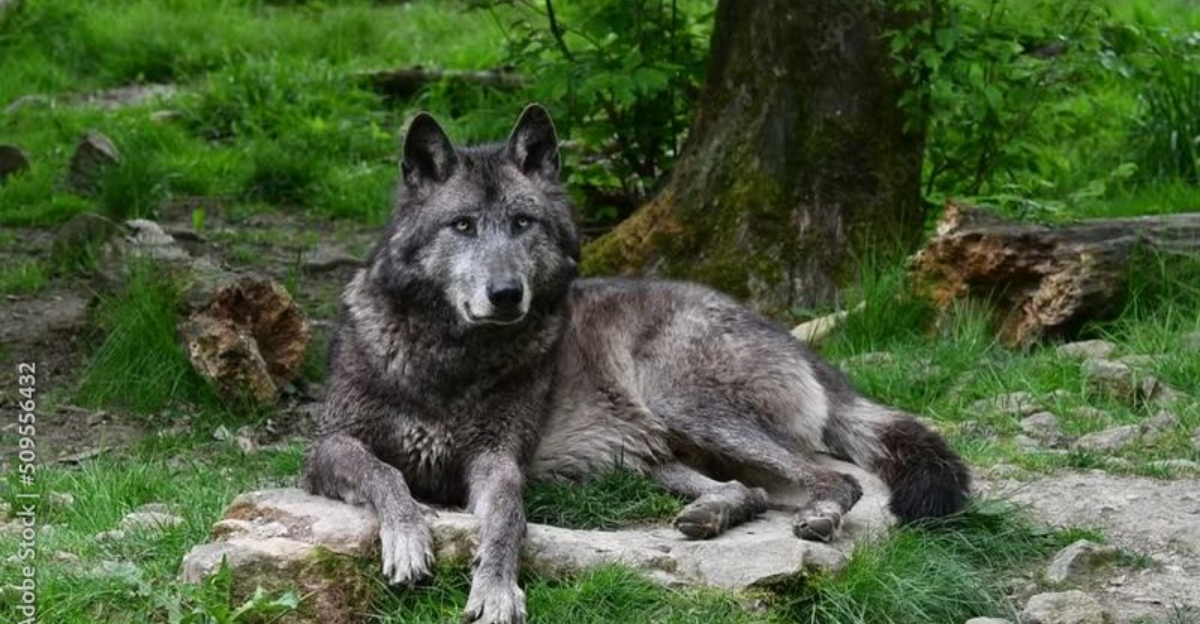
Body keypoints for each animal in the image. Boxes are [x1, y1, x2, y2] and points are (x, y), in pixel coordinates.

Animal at [304, 104, 972, 624]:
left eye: (522, 223)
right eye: (462, 225)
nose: (507, 294)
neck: (449, 357)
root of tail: (795, 340)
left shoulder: (497, 461)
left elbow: (506, 522)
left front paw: (496, 590)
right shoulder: (327, 447)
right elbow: (387, 476)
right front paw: (409, 538)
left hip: (684, 407)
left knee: (836, 480)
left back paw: (815, 518)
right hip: (648, 458)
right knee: (751, 489)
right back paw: (710, 514)